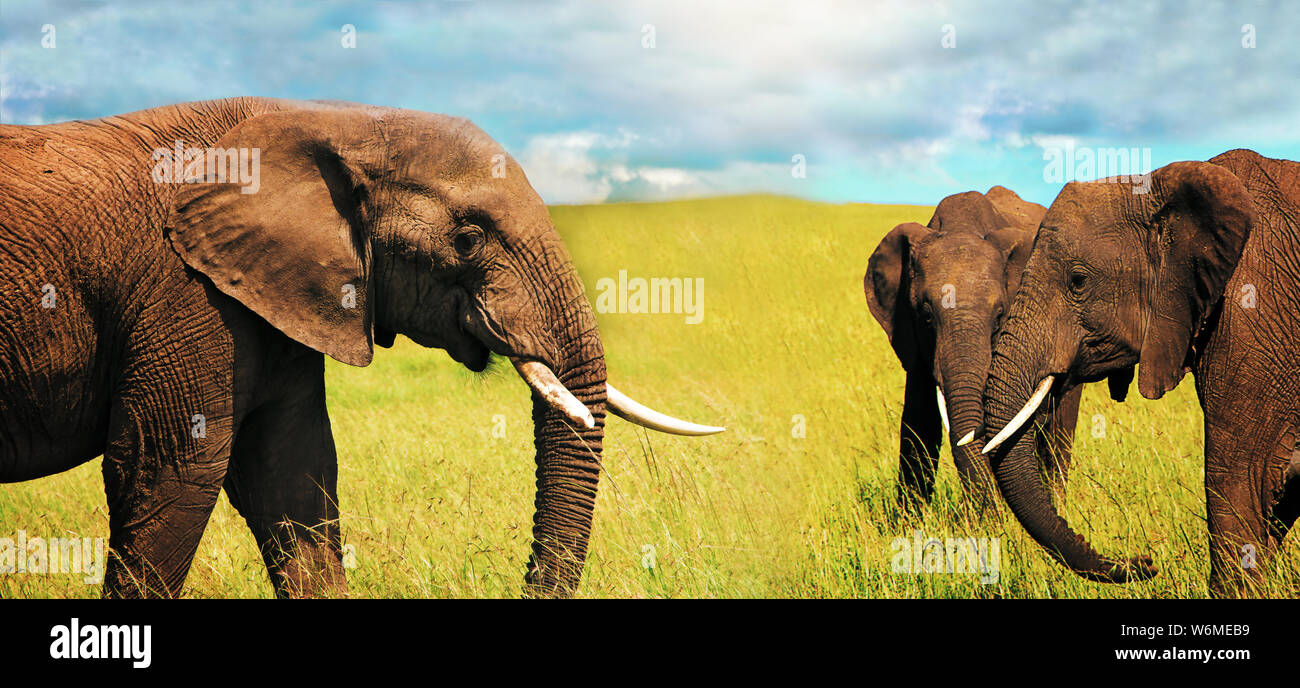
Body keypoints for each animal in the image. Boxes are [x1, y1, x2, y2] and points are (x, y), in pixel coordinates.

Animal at [0, 97, 723, 598]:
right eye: (467, 239)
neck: (327, 118)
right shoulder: (183, 293)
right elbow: (169, 469)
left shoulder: (274, 292)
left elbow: (293, 476)